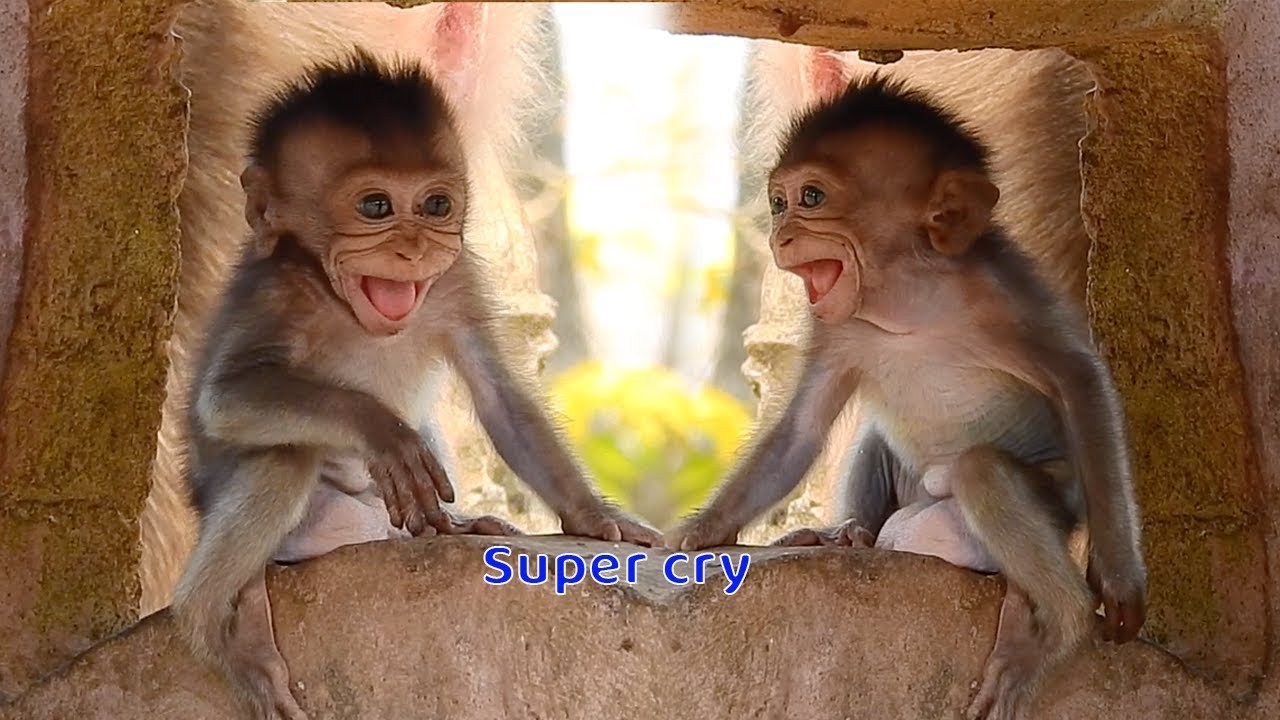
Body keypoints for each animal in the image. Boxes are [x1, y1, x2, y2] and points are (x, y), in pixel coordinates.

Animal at [170, 52, 660, 720]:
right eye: (376, 207)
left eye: (435, 205)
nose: (415, 247)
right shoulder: (275, 294)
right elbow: (224, 400)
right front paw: (382, 430)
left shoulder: (456, 279)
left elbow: (500, 395)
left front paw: (596, 516)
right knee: (283, 460)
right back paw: (213, 628)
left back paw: (451, 527)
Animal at [664, 76, 1147, 720]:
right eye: (779, 201)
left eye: (811, 197)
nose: (780, 233)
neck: (904, 300)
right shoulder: (838, 328)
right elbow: (800, 431)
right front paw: (703, 529)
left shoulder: (1003, 291)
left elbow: (1081, 379)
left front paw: (1119, 578)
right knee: (875, 438)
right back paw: (849, 535)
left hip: (1052, 498)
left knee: (982, 470)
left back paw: (1056, 628)